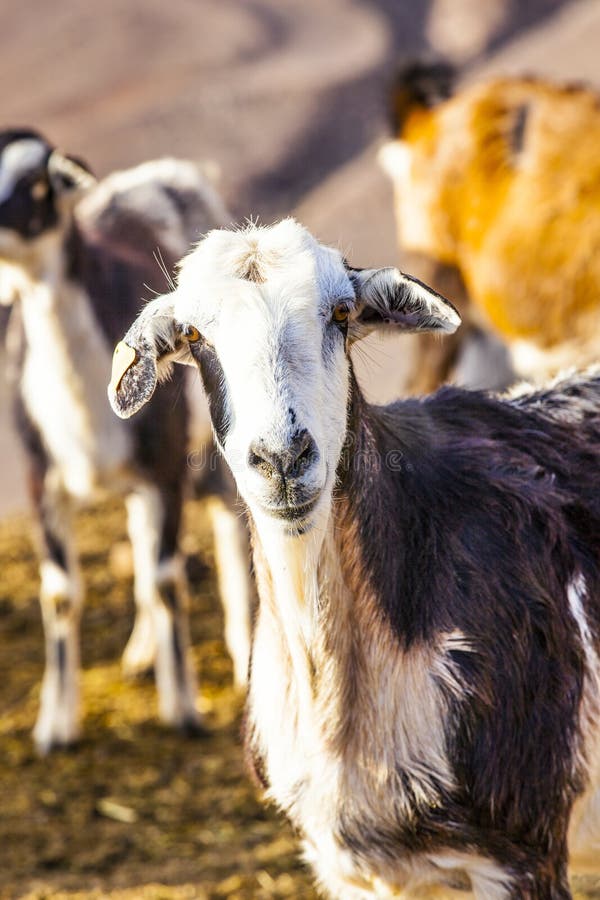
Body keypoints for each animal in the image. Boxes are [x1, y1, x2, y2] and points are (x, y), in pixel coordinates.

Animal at [0, 129, 252, 753]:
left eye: (34, 182)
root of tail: (171, 169)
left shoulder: (165, 468)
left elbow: (166, 582)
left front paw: (183, 709)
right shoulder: (41, 479)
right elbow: (61, 592)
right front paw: (56, 725)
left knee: (229, 527)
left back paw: (242, 649)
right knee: (139, 540)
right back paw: (141, 652)